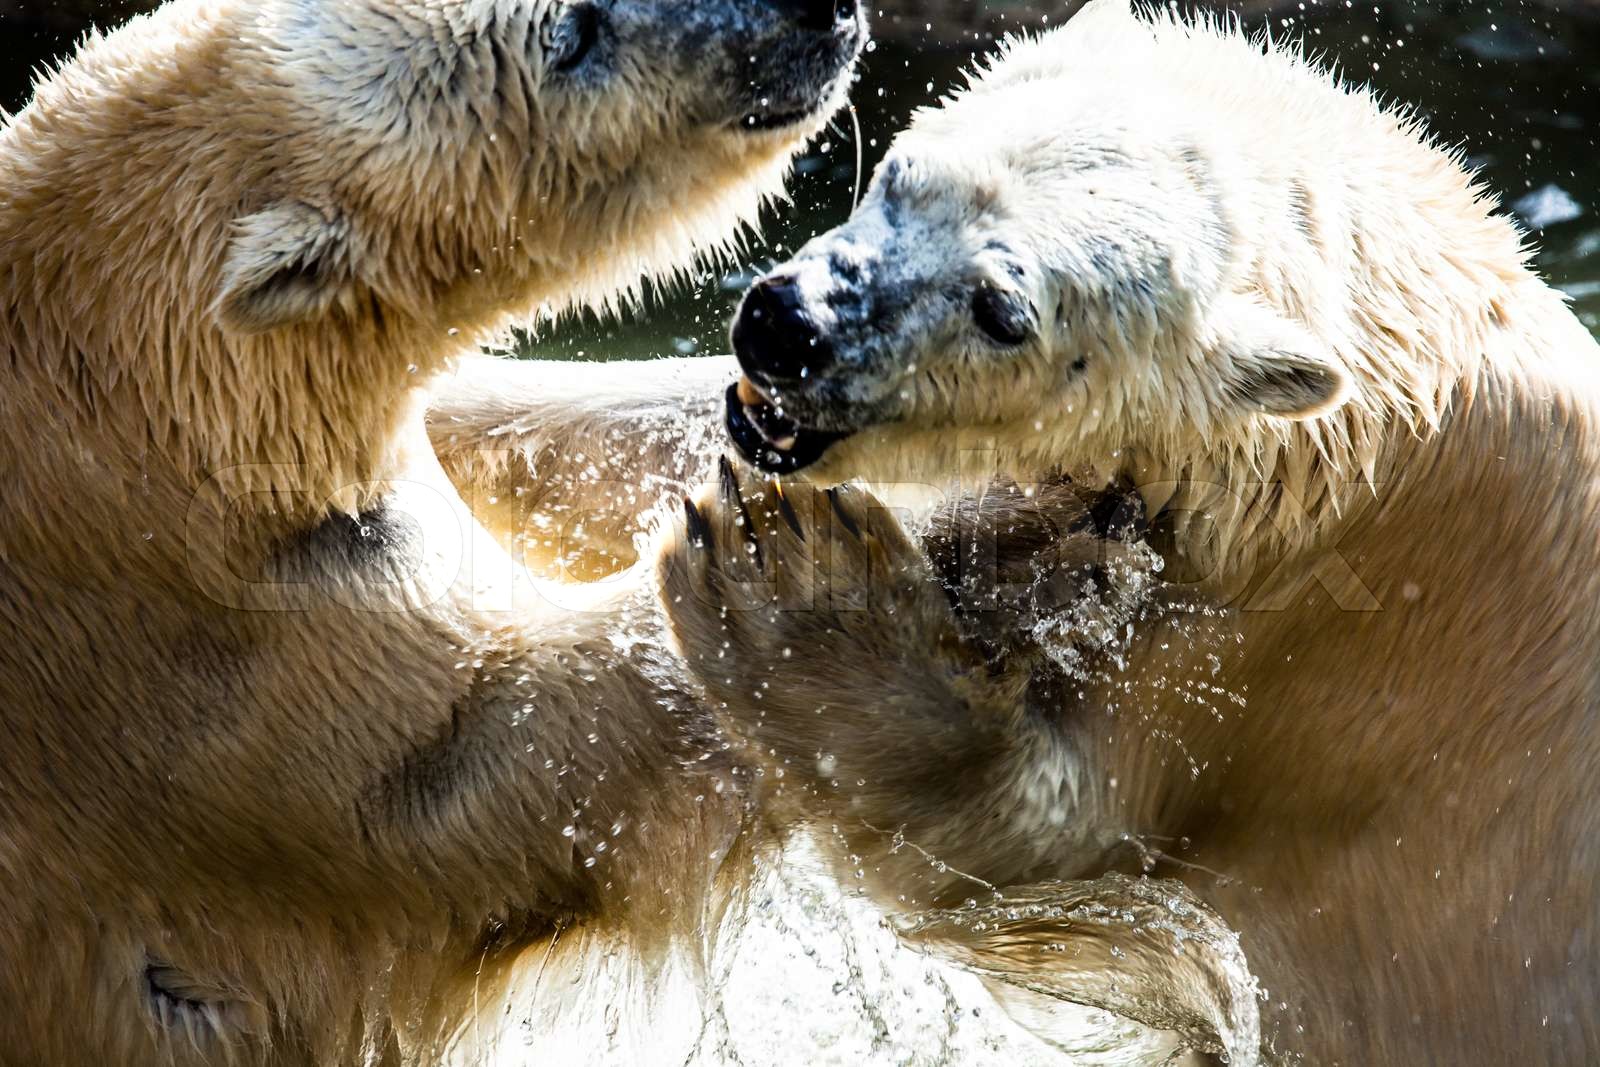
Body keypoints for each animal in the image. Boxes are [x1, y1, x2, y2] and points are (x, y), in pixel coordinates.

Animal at [658, 2, 1600, 1063]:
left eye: (1003, 309)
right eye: (901, 172)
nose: (789, 326)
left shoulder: (1324, 642)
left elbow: (1030, 841)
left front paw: (789, 575)